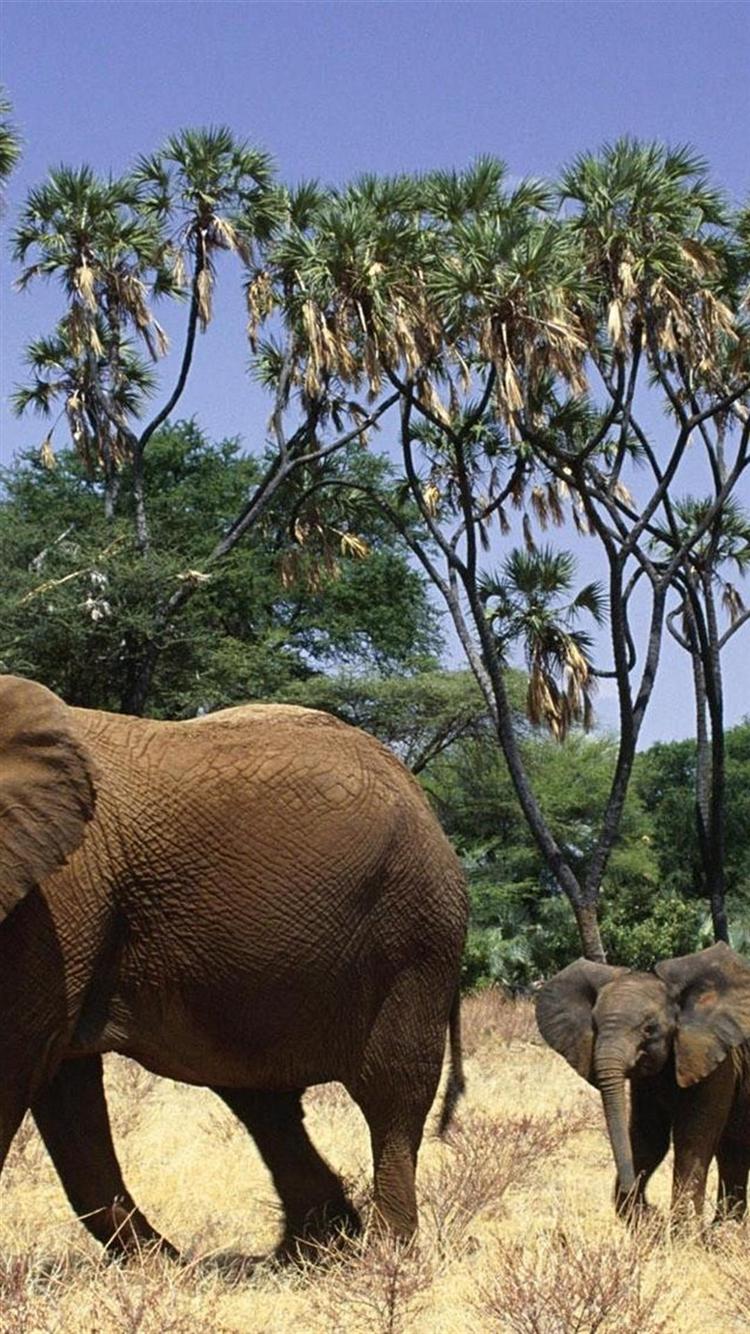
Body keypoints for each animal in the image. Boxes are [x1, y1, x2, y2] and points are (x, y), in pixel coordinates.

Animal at [0, 674, 467, 1258]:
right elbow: (62, 1082)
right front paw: (159, 1268)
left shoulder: (61, 887)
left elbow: (21, 1053)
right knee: (261, 1099)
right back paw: (310, 1251)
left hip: (416, 931)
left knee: (391, 1094)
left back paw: (382, 1256)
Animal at [536, 943, 750, 1224]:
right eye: (594, 1025)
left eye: (649, 1029)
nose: (650, 1208)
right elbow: (649, 1138)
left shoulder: (714, 1059)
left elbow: (692, 1138)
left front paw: (682, 1232)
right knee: (734, 1150)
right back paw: (726, 1228)